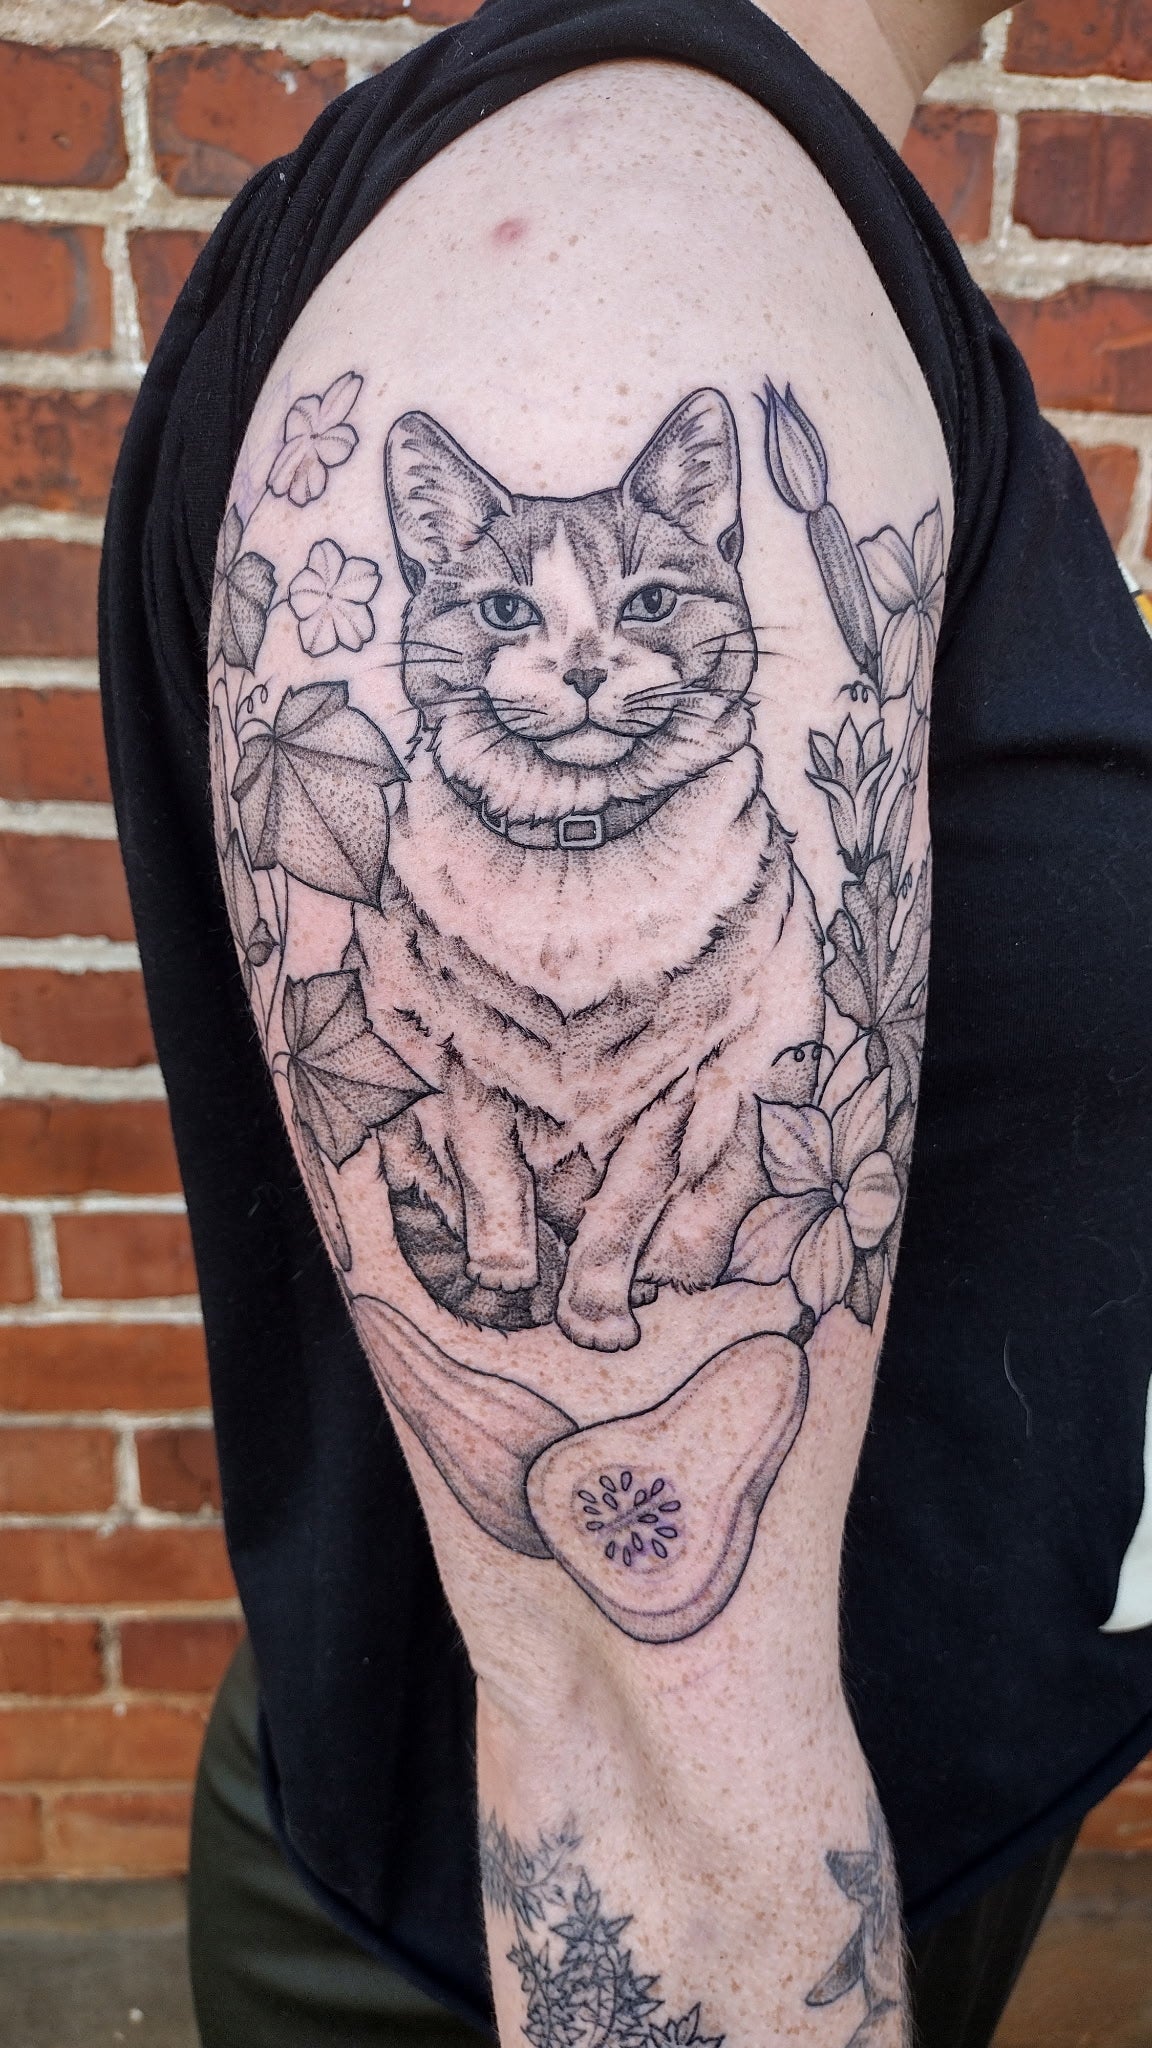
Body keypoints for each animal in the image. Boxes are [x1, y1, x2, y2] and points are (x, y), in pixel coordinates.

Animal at [354, 388, 825, 1353]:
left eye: (650, 603)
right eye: (506, 611)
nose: (583, 670)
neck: (580, 857)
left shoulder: (684, 1080)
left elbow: (625, 1206)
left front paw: (597, 1312)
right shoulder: (463, 1057)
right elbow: (492, 1170)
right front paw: (504, 1271)